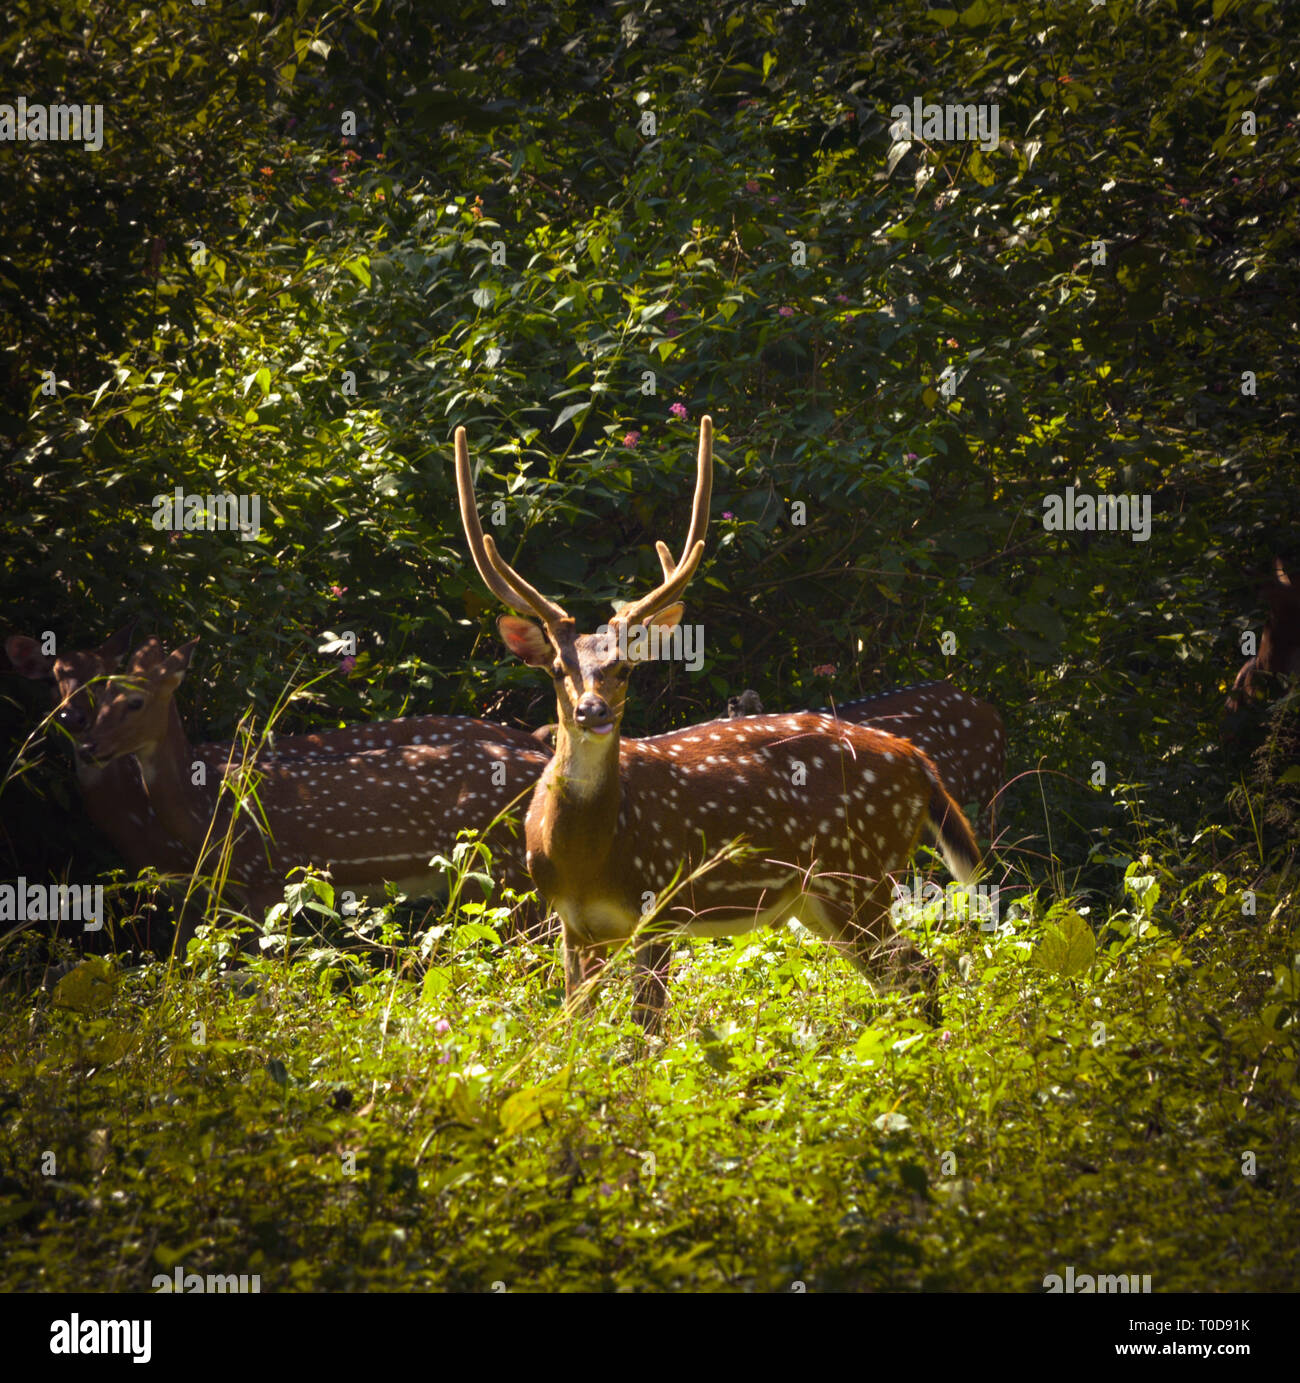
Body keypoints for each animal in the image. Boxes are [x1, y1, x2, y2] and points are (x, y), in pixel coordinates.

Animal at [453, 415, 981, 1031]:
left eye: (624, 668)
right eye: (559, 669)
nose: (592, 711)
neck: (587, 856)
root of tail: (917, 758)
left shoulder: (659, 901)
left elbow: (646, 1032)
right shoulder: (572, 923)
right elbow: (572, 1028)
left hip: (860, 871)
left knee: (920, 974)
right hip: (821, 899)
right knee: (905, 977)